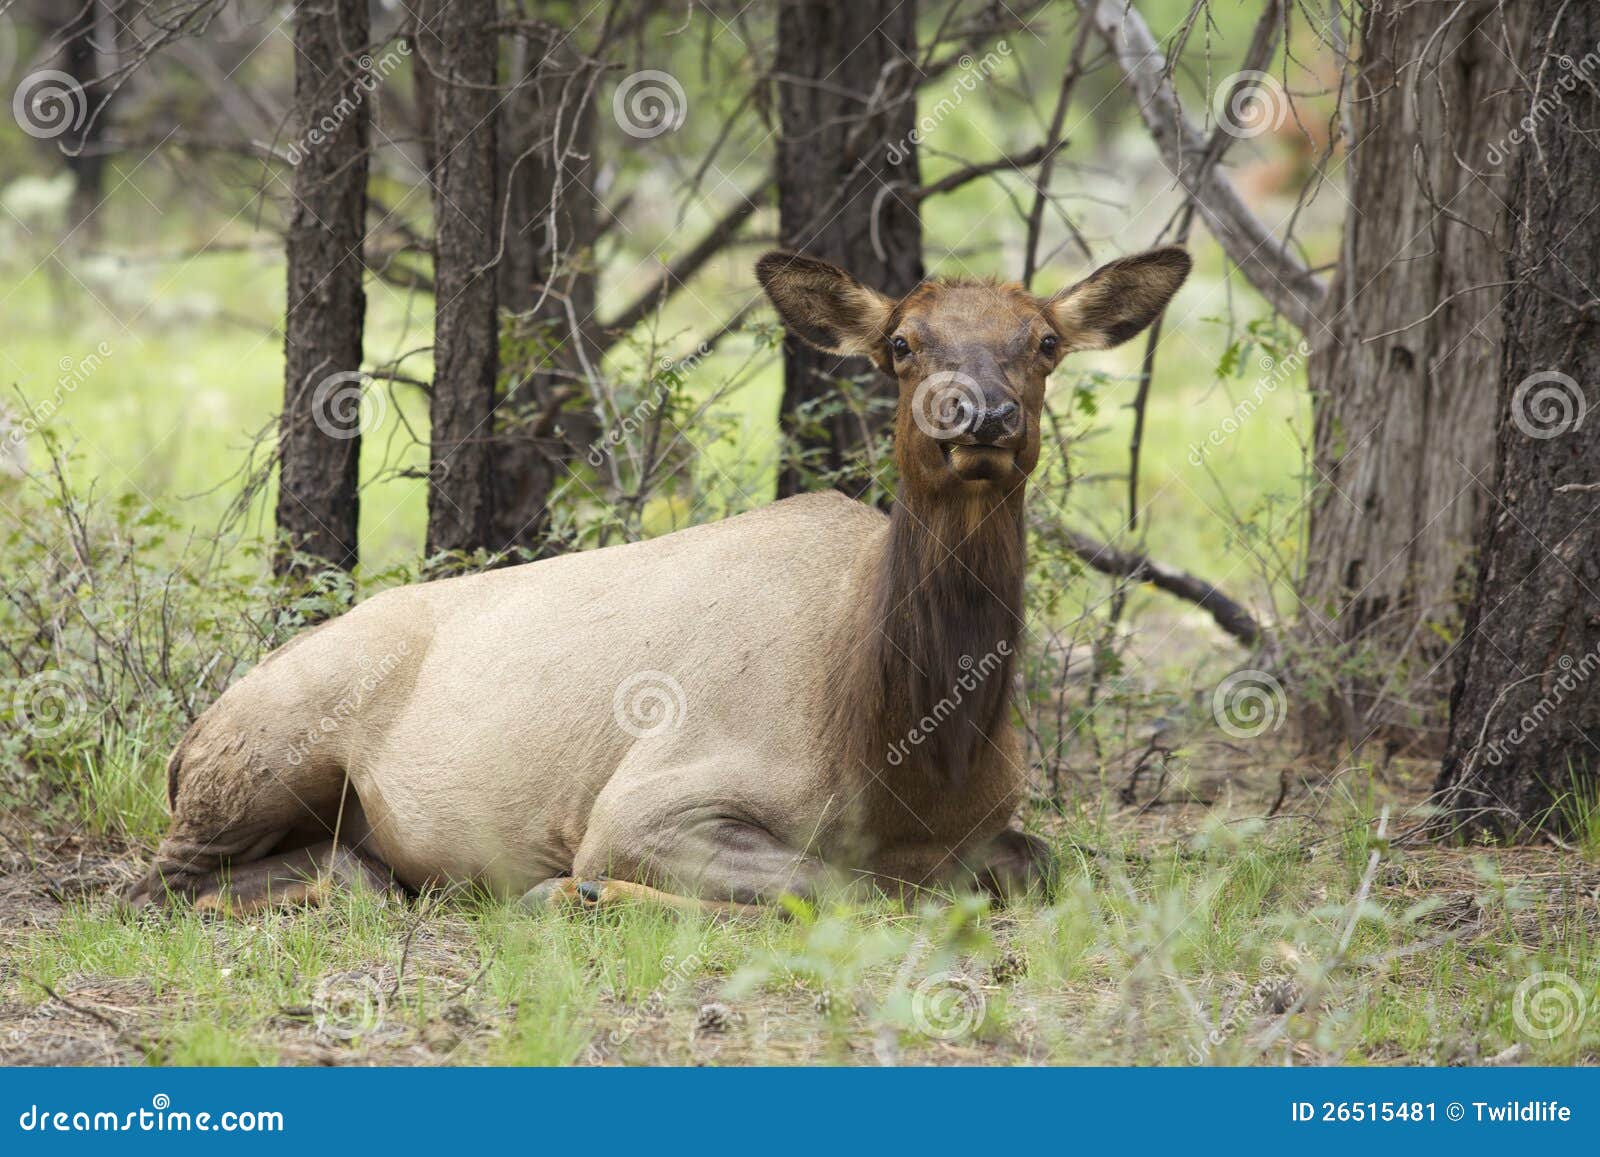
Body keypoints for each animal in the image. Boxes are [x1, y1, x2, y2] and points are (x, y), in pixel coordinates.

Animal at [126, 245, 1190, 916]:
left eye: (1043, 342)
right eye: (901, 343)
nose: (981, 414)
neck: (906, 761)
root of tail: (184, 740)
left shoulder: (997, 827)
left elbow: (1050, 864)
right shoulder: (646, 799)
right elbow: (840, 886)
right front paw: (578, 890)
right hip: (263, 748)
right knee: (149, 883)